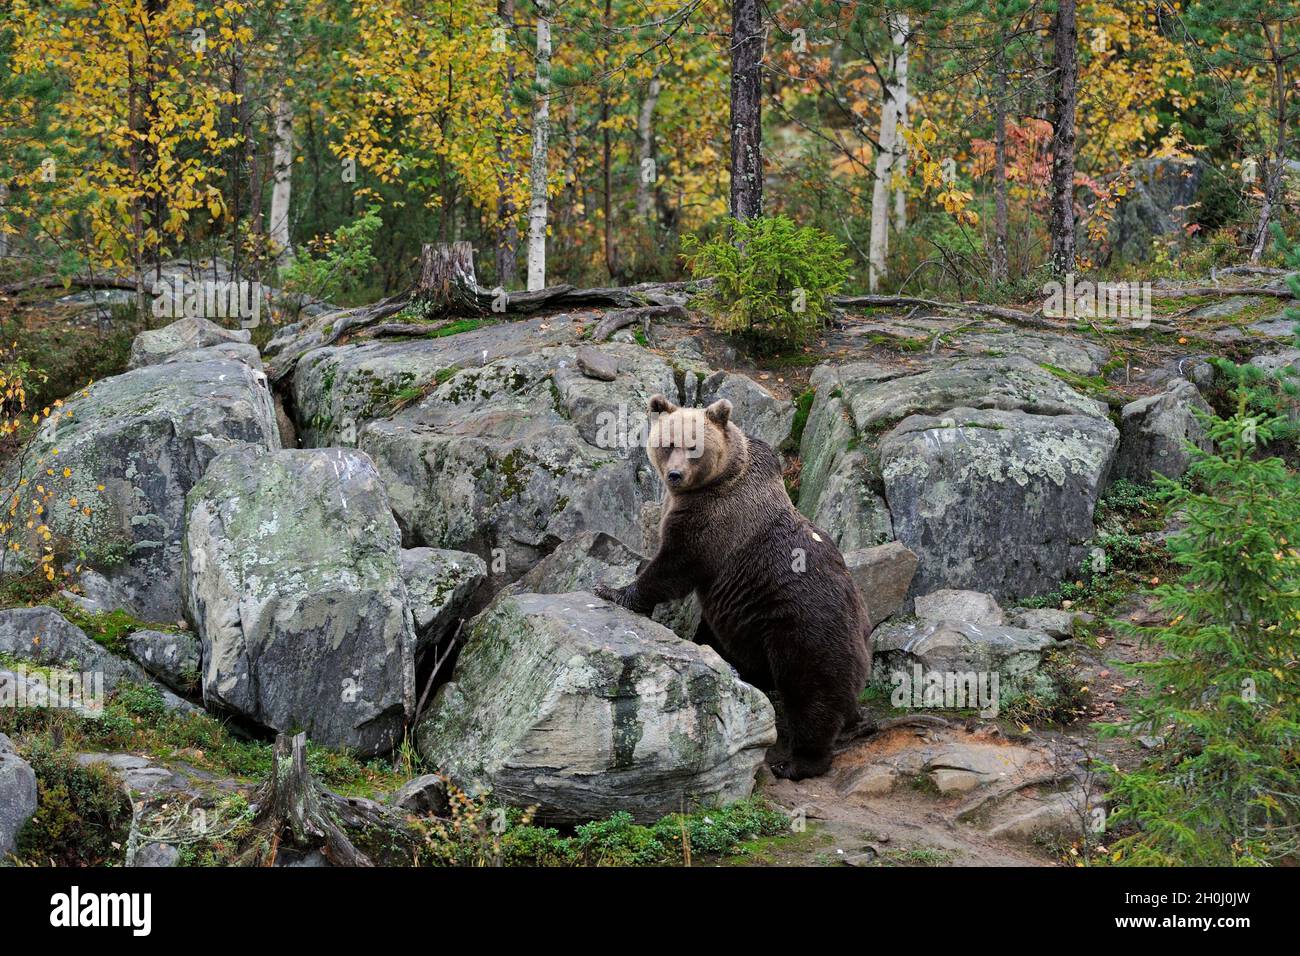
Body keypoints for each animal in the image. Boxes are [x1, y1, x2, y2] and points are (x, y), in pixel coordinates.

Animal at [595, 393, 871, 780]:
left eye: (693, 447)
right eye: (668, 444)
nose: (675, 474)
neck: (715, 481)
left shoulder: (715, 523)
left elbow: (673, 566)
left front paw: (615, 590)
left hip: (804, 630)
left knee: (811, 693)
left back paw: (796, 762)